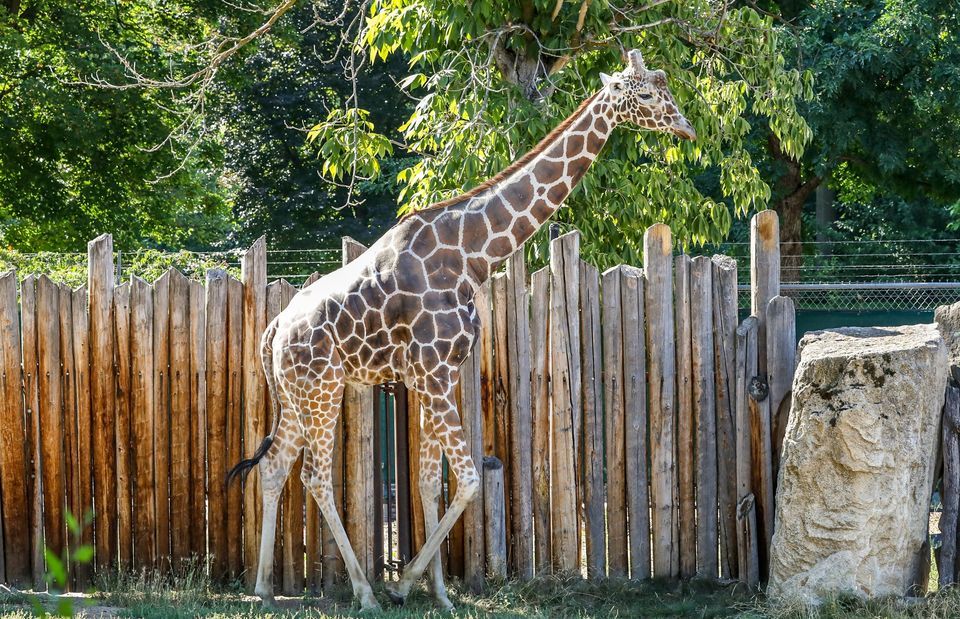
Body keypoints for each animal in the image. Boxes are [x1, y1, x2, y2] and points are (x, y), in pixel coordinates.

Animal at [228, 49, 695, 611]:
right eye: (646, 94)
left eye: (666, 89)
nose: (687, 126)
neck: (473, 256)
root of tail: (274, 329)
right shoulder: (431, 374)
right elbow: (469, 478)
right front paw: (403, 583)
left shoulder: (439, 375)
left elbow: (431, 481)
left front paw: (439, 594)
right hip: (321, 388)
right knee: (316, 476)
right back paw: (364, 591)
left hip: (298, 394)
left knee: (274, 466)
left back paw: (262, 589)